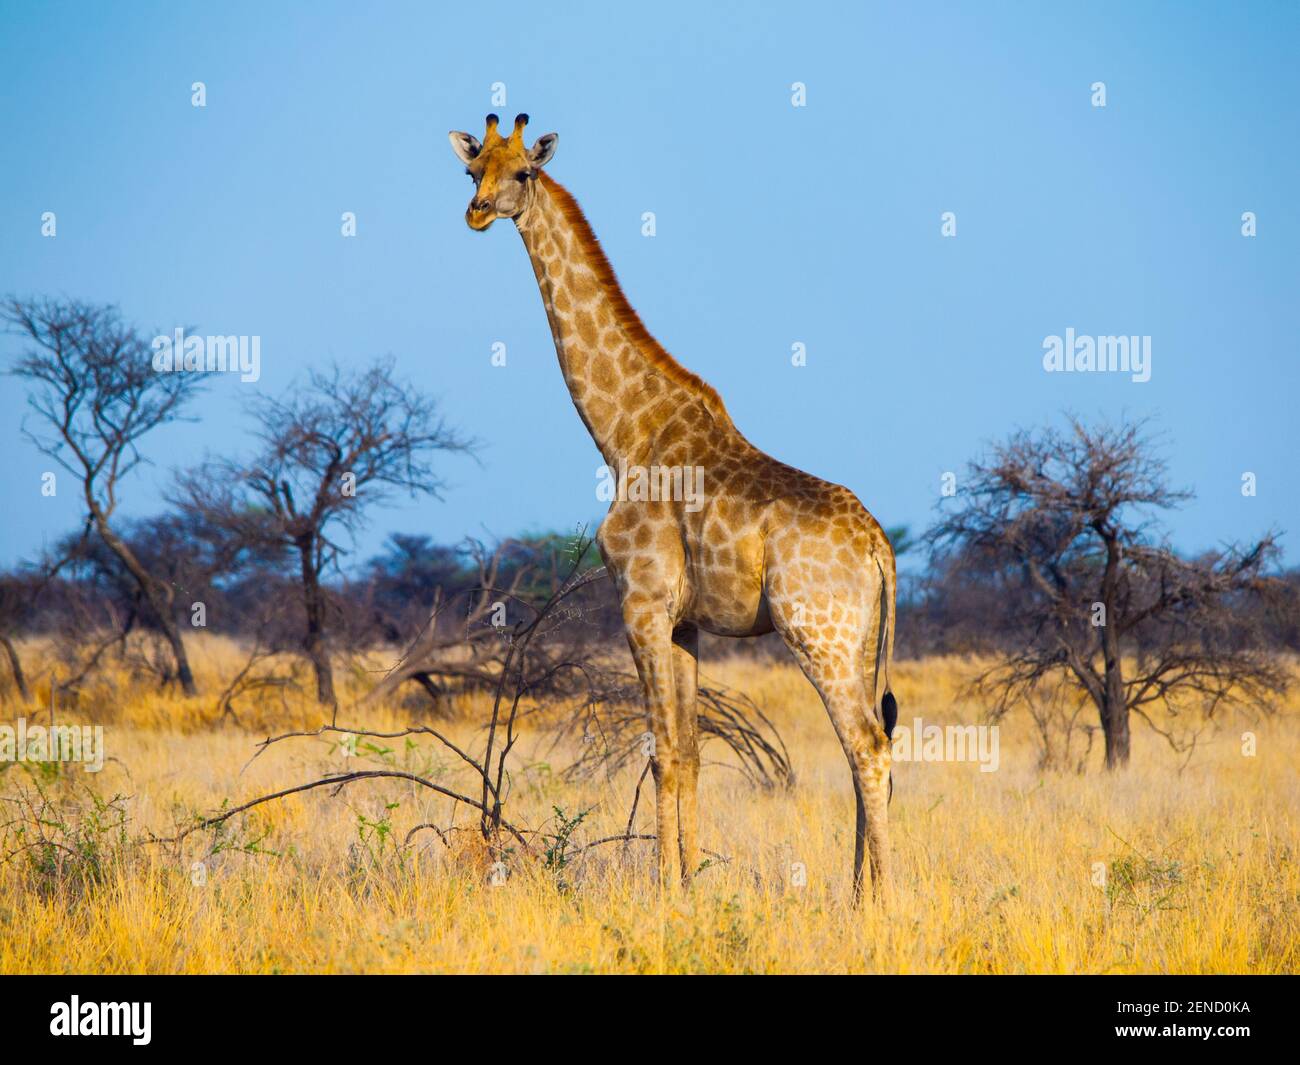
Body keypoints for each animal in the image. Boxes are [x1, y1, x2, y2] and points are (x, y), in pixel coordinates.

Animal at [449, 114, 900, 903]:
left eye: (523, 173)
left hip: (820, 634)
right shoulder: (686, 620)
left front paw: (663, 890)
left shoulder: (641, 600)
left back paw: (886, 902)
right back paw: (856, 893)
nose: (475, 212)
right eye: (473, 170)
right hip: (859, 639)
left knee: (869, 748)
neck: (623, 432)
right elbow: (689, 749)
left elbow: (660, 749)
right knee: (864, 748)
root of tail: (879, 544)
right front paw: (688, 884)